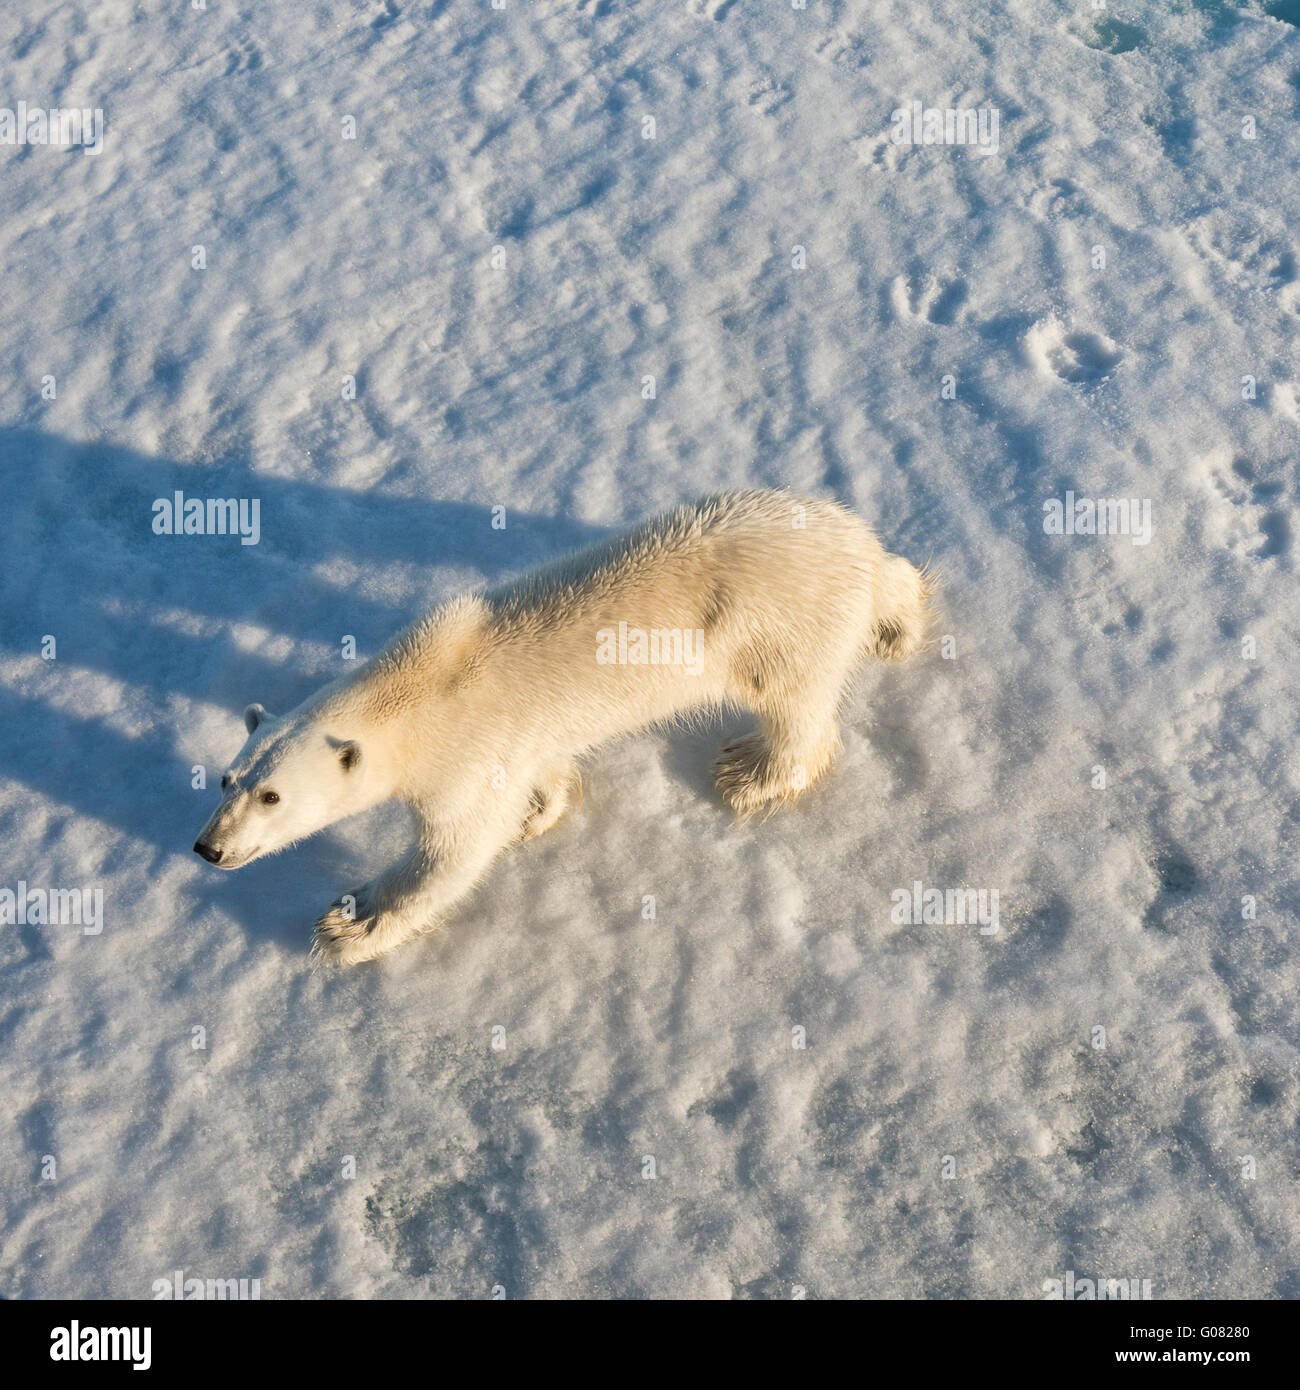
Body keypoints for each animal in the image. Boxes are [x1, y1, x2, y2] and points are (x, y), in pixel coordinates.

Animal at [193, 490, 932, 964]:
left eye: (272, 796)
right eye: (225, 780)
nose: (208, 849)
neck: (419, 685)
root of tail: (857, 542)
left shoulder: (465, 758)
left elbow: (452, 853)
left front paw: (350, 927)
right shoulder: (517, 743)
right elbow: (540, 776)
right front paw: (535, 812)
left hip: (779, 628)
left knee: (796, 709)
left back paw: (751, 773)